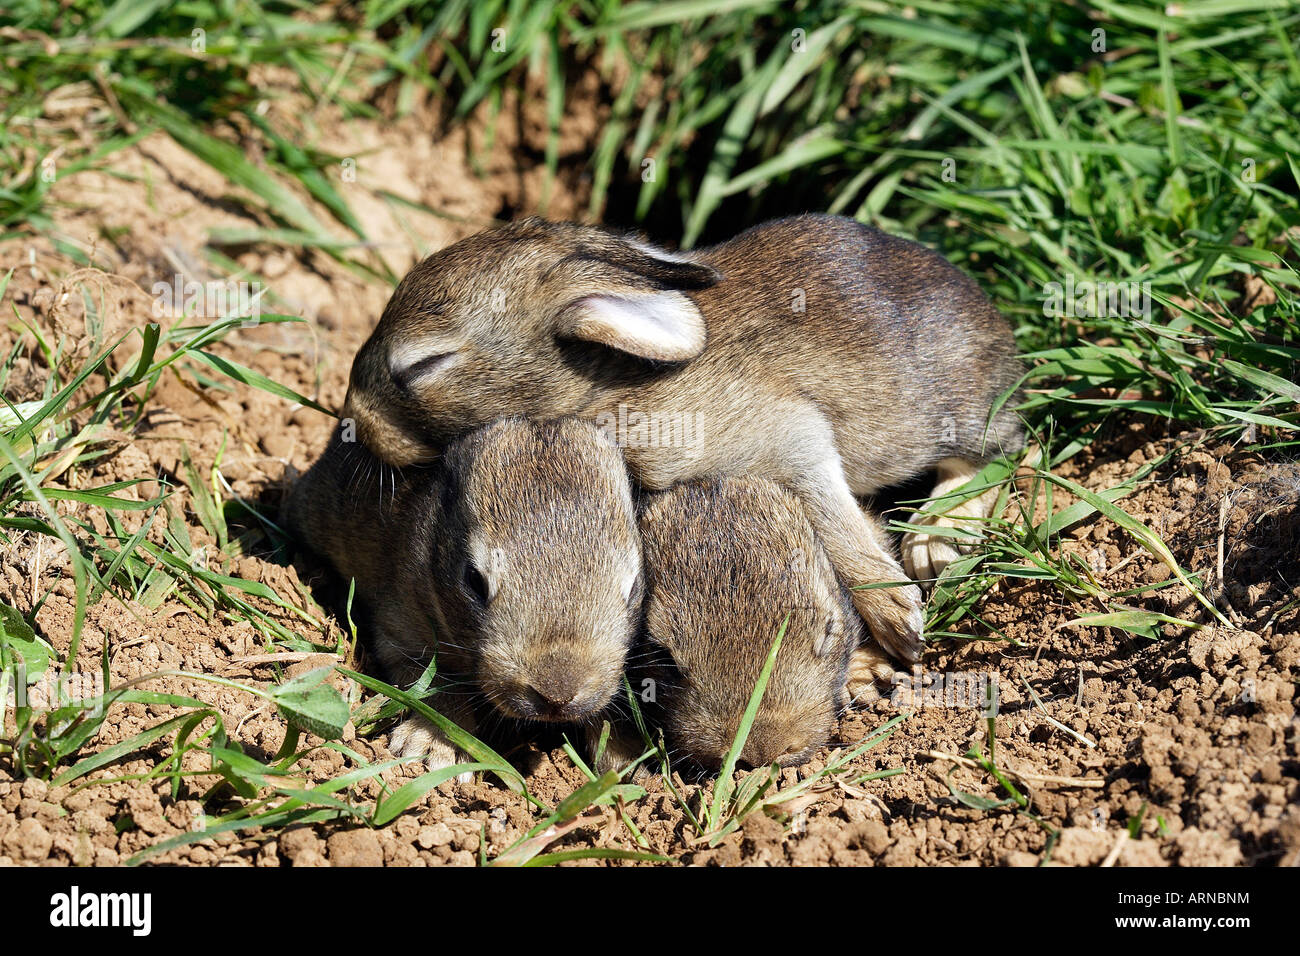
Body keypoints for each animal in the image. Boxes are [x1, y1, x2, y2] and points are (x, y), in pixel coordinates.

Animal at [284, 416, 644, 779]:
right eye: (474, 581)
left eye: (633, 586)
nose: (555, 697)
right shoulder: (402, 631)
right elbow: (436, 683)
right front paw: (433, 745)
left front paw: (626, 757)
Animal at [340, 213, 1024, 665]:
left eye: (421, 366)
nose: (357, 425)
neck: (602, 380)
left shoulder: (788, 435)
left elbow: (832, 512)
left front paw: (899, 620)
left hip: (955, 412)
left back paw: (936, 539)